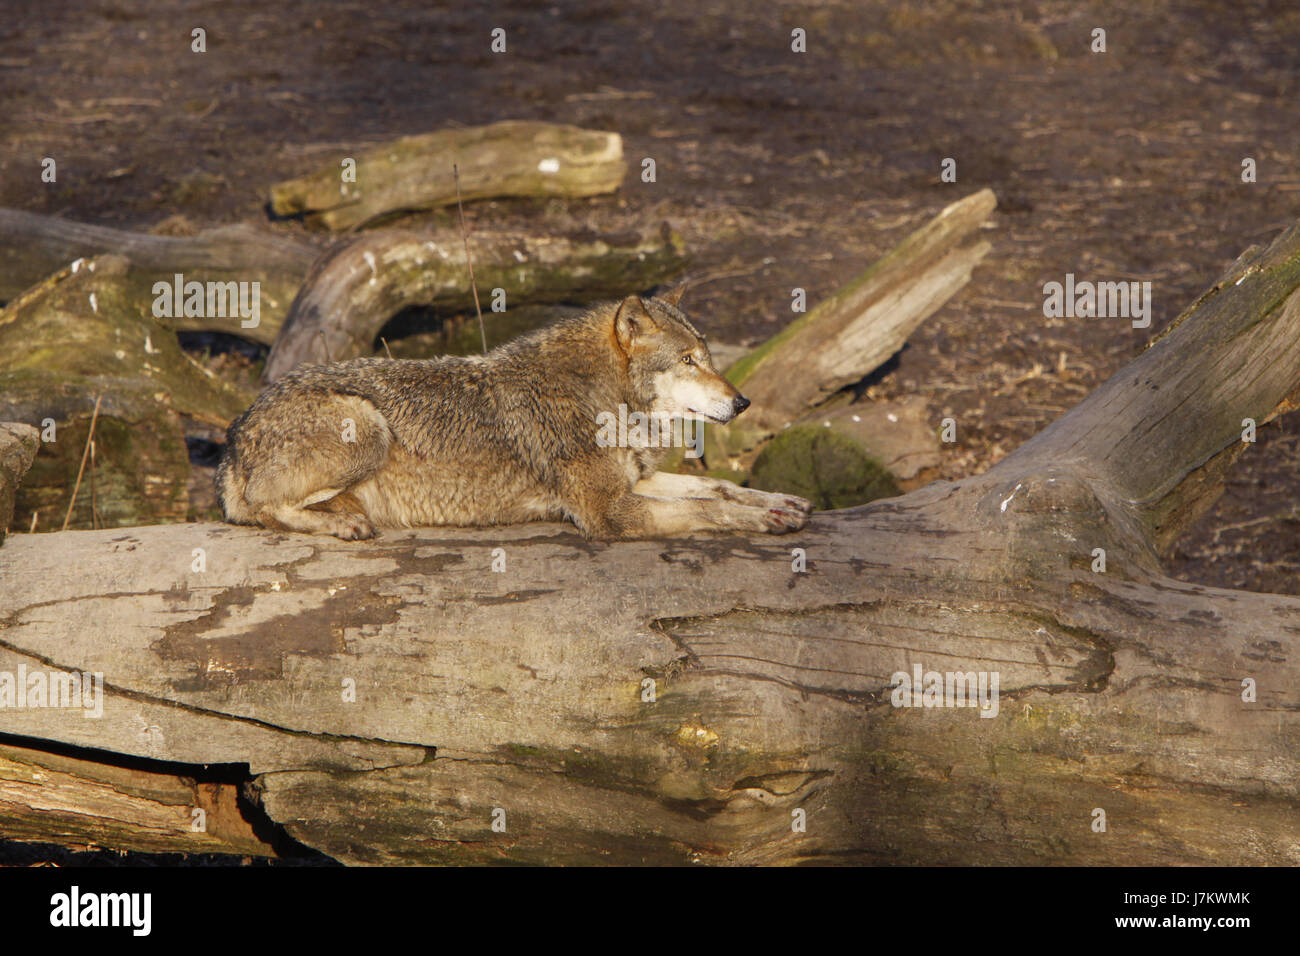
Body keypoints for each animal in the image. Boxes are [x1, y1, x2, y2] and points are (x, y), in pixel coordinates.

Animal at [216, 289, 813, 540]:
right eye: (688, 361)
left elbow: (718, 488)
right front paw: (764, 519)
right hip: (369, 428)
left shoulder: (633, 482)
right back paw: (343, 525)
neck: (603, 399)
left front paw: (779, 501)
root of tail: (235, 433)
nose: (742, 402)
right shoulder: (609, 514)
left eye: (708, 356)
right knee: (262, 509)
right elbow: (707, 508)